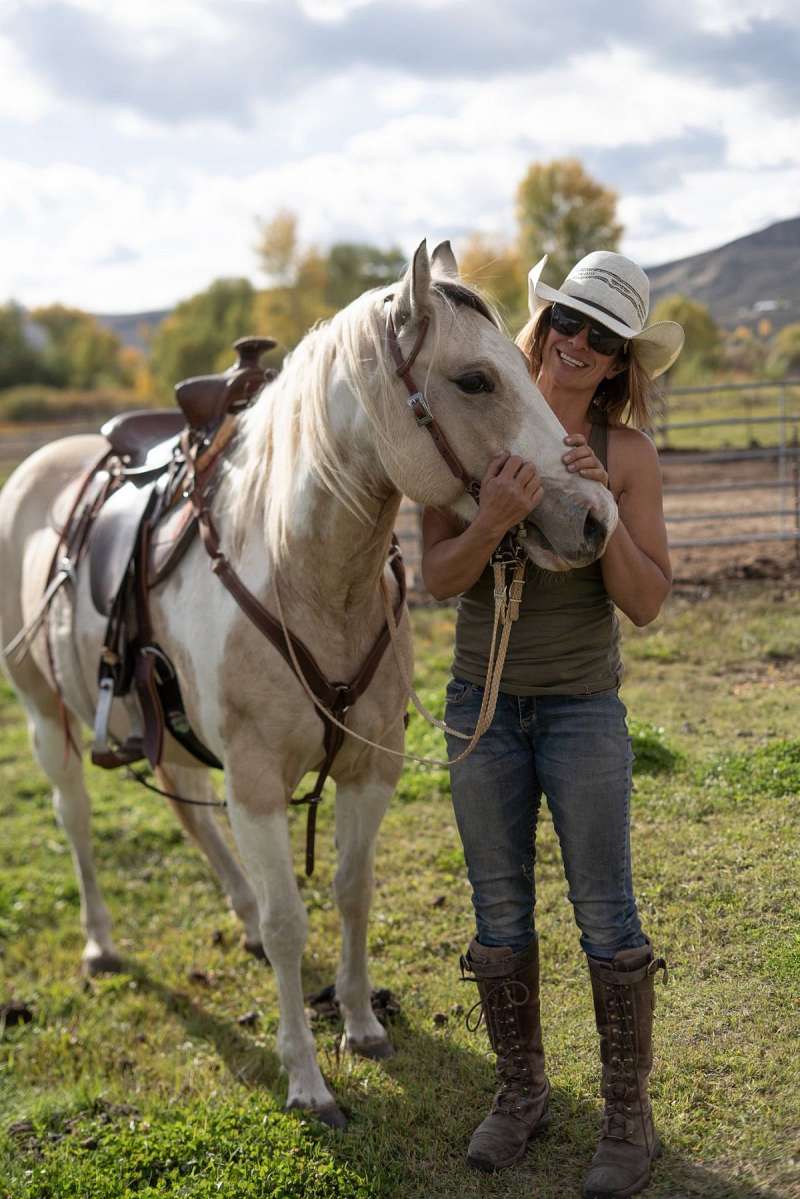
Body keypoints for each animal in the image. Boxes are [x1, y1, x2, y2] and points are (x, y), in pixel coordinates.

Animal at [0, 240, 618, 1127]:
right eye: (475, 379)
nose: (596, 514)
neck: (307, 573)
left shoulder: (372, 764)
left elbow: (352, 890)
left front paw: (361, 1024)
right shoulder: (257, 780)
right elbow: (293, 918)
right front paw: (307, 1077)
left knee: (187, 802)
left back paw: (237, 916)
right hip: (44, 715)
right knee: (76, 818)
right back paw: (102, 941)